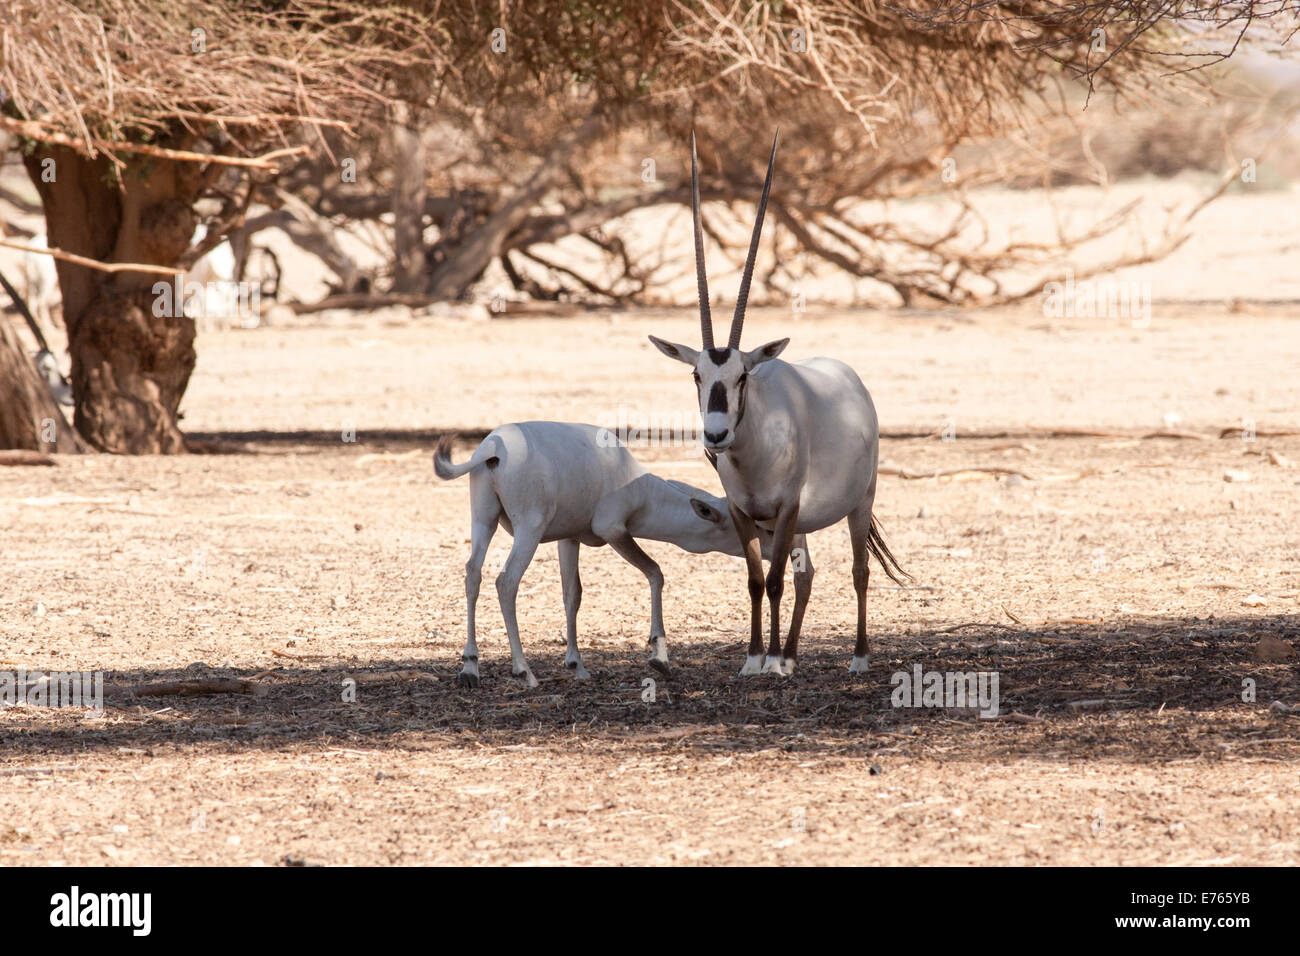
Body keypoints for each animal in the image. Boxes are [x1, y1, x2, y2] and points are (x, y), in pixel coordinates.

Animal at [436, 426, 780, 686]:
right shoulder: (612, 529)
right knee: (506, 581)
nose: (780, 548)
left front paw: (578, 667)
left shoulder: (569, 537)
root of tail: (493, 450)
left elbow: (572, 594)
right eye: (757, 527)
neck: (634, 482)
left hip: (484, 518)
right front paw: (659, 658)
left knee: (473, 573)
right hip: (529, 528)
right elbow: (655, 572)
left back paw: (470, 668)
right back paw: (525, 672)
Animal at [647, 130, 909, 676]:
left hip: (860, 499)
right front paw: (754, 659)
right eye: (697, 374)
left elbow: (773, 582)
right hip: (804, 521)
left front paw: (767, 662)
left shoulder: (786, 507)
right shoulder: (746, 511)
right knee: (806, 575)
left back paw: (856, 657)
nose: (716, 435)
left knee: (858, 570)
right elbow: (754, 580)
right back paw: (789, 655)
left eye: (743, 375)